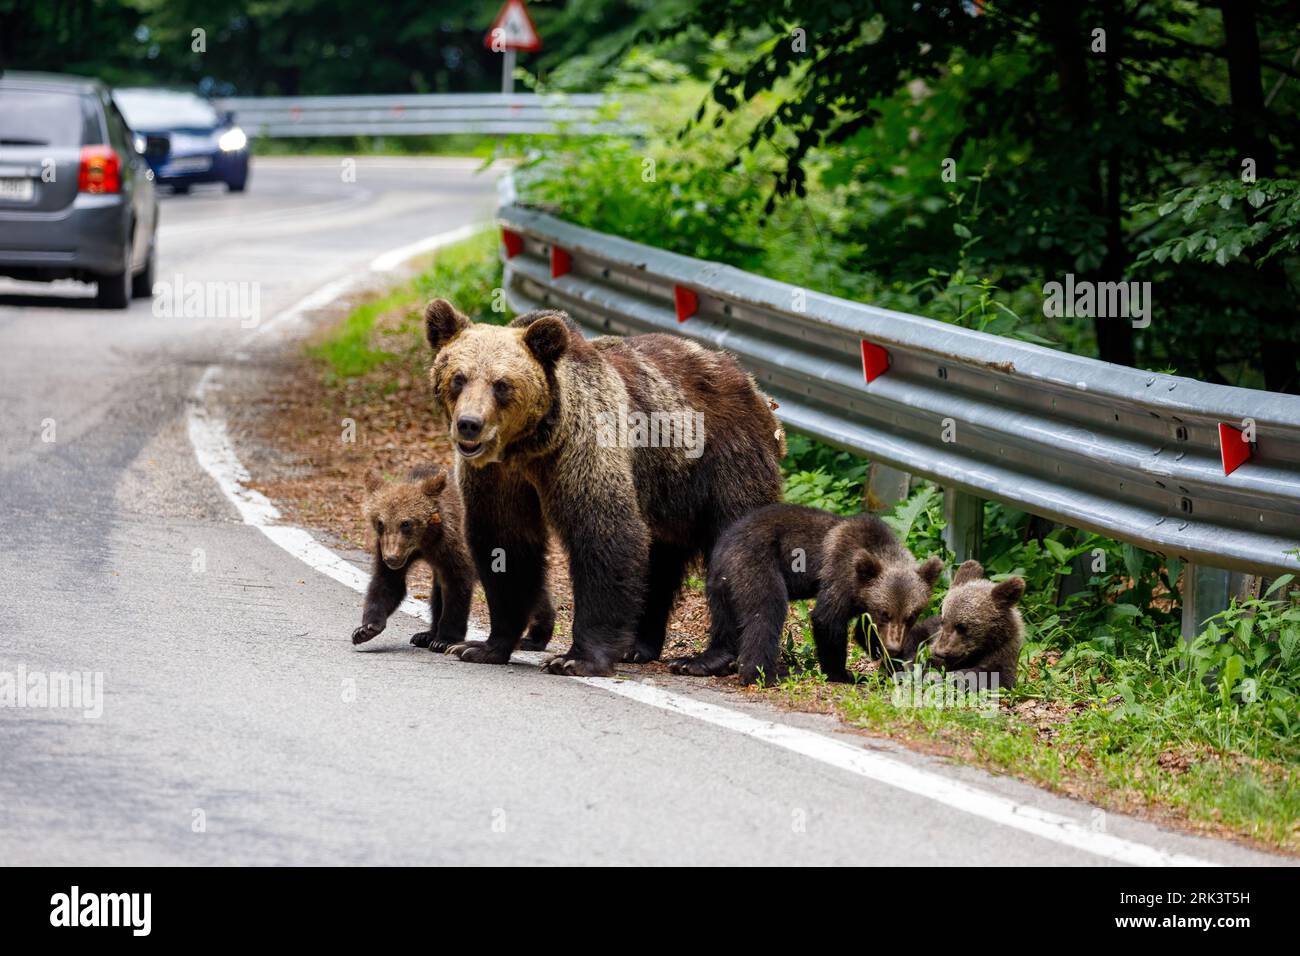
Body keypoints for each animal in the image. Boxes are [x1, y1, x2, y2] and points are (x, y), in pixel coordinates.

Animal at [350, 464, 555, 653]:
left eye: (406, 523)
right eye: (380, 523)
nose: (391, 558)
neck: (427, 540)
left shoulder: (454, 548)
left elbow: (457, 589)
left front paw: (444, 640)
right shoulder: (390, 548)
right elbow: (387, 583)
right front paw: (365, 629)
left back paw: (535, 637)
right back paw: (425, 635)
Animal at [423, 298, 784, 677]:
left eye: (501, 384)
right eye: (458, 378)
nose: (470, 424)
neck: (529, 446)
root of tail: (754, 388)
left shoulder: (583, 447)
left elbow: (602, 532)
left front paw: (575, 657)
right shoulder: (497, 477)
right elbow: (504, 543)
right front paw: (481, 646)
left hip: (727, 464)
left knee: (731, 550)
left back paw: (707, 657)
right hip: (667, 495)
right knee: (659, 564)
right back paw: (637, 646)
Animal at [672, 502, 944, 685]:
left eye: (911, 615)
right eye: (885, 612)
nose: (894, 646)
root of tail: (727, 542)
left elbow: (863, 630)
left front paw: (888, 659)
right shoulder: (841, 574)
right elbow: (827, 619)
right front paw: (843, 673)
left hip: (720, 581)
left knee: (724, 621)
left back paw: (701, 662)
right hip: (757, 563)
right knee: (766, 612)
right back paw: (769, 674)